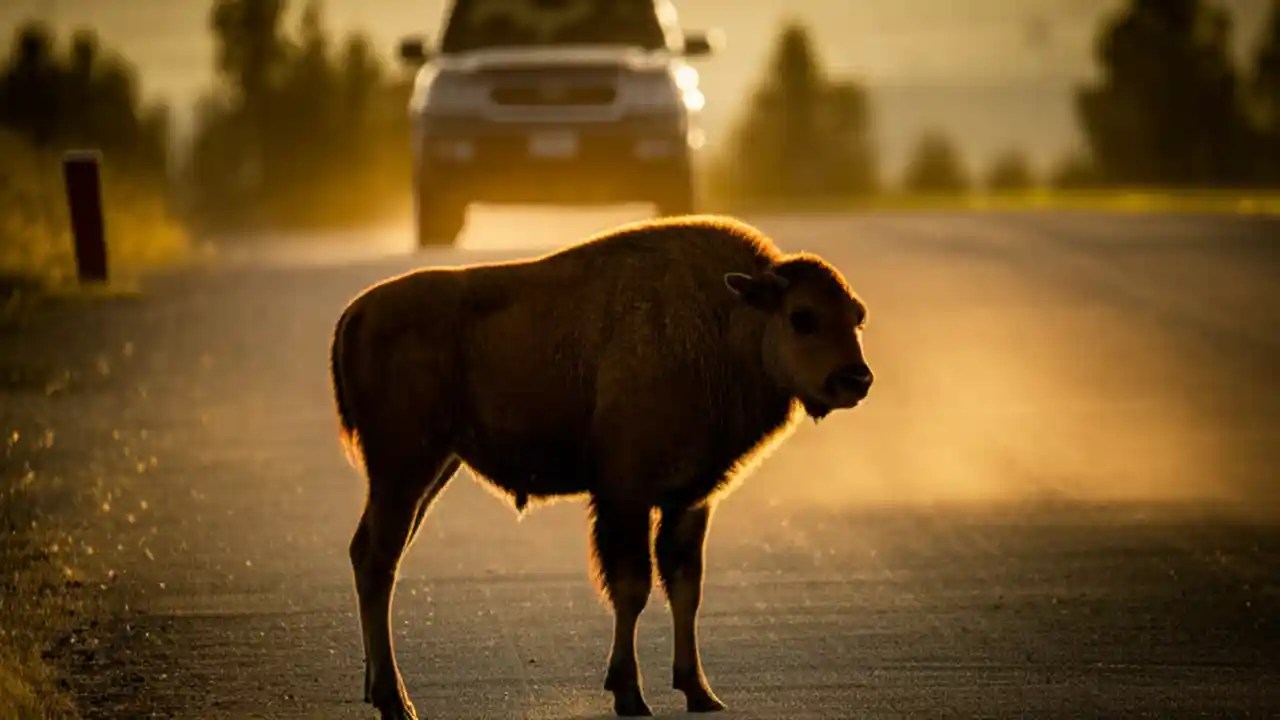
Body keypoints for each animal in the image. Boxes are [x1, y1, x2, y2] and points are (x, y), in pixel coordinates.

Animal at [330, 215, 873, 719]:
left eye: (856, 317)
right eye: (802, 317)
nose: (856, 379)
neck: (727, 319)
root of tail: (356, 313)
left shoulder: (689, 502)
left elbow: (685, 588)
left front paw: (700, 692)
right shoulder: (625, 496)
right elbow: (632, 588)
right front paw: (629, 693)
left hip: (432, 470)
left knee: (369, 554)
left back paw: (378, 689)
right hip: (403, 470)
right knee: (378, 561)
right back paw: (395, 701)